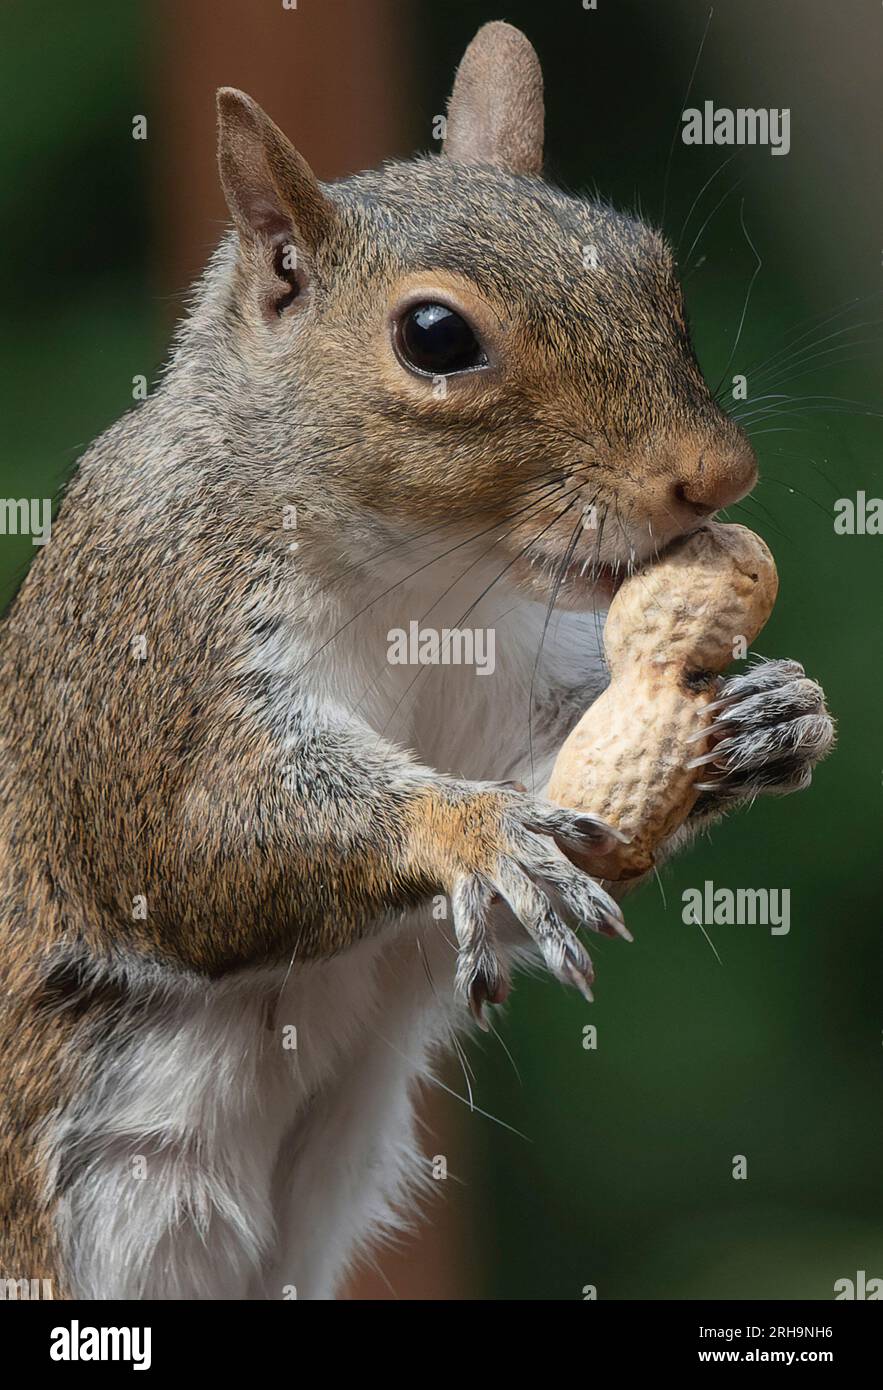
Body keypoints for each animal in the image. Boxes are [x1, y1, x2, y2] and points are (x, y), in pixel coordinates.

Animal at [0, 22, 833, 1300]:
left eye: (652, 266)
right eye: (435, 337)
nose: (716, 475)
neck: (431, 583)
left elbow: (573, 826)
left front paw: (766, 717)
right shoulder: (144, 652)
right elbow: (192, 846)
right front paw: (471, 827)